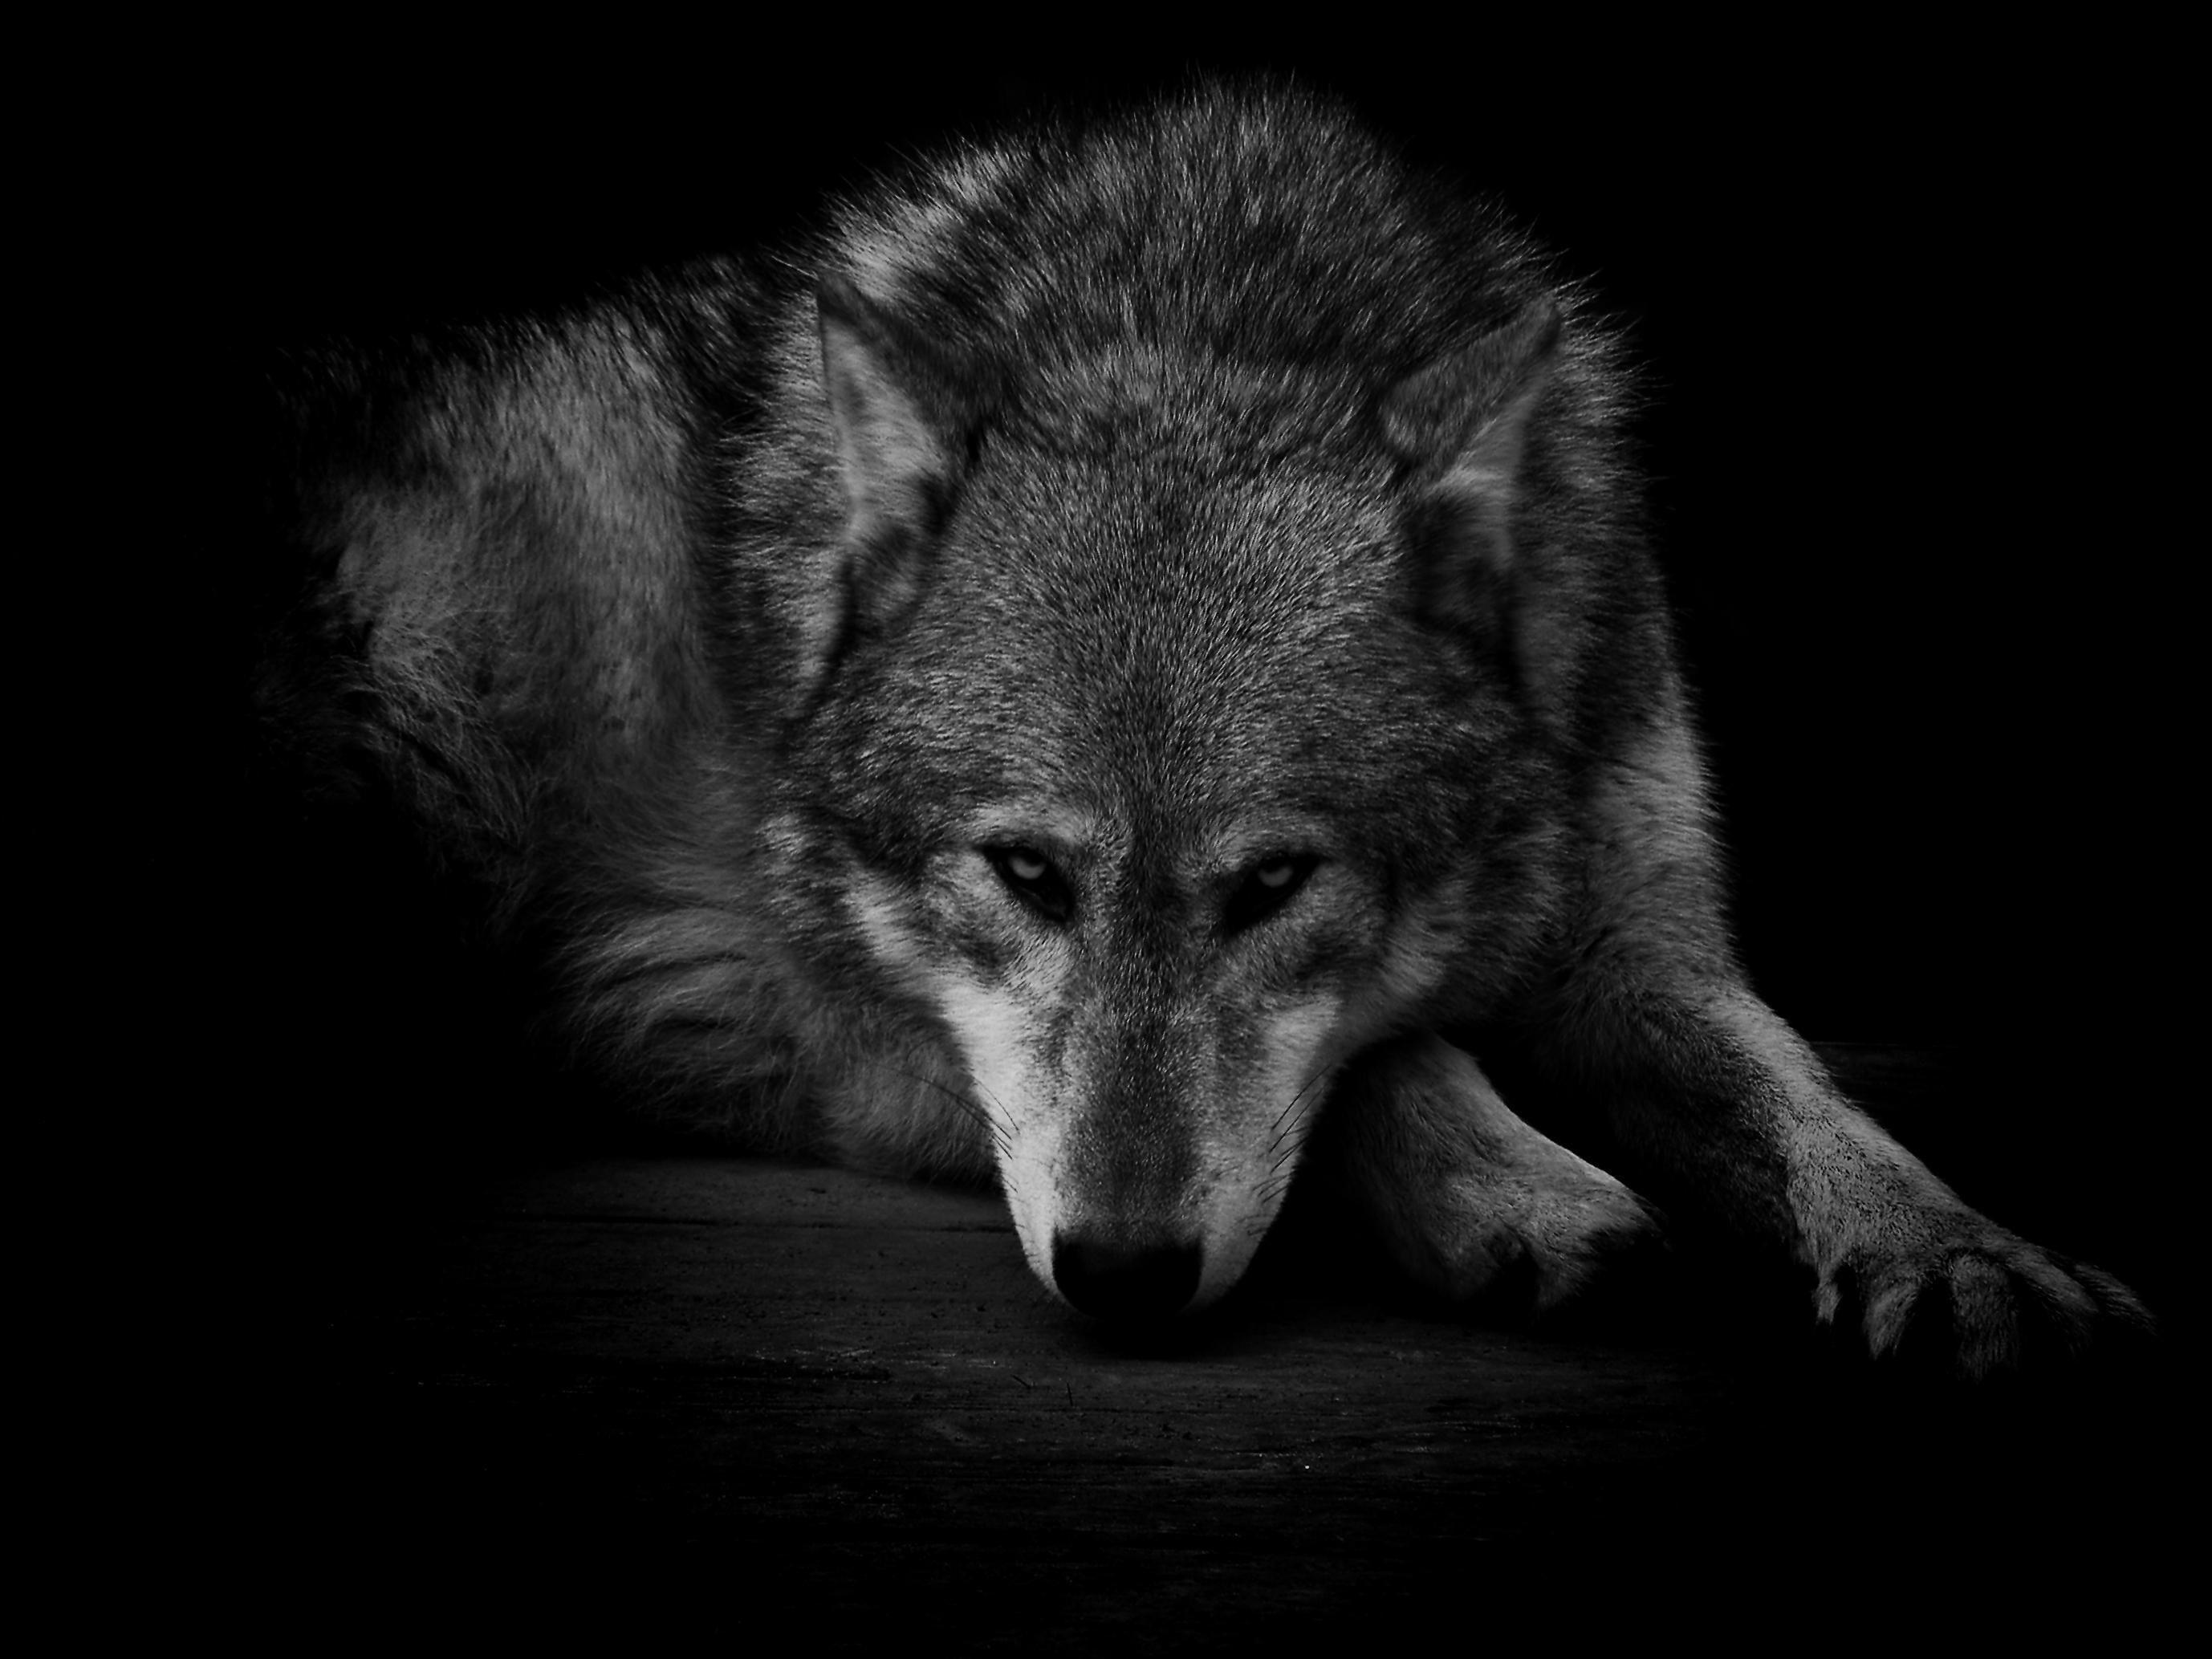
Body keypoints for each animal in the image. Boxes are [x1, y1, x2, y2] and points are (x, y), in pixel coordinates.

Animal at [260, 83, 2146, 1376]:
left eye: (1272, 887)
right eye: (1024, 873)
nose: (1119, 1272)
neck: (1202, 324)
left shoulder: (1636, 947)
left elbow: (1806, 1091)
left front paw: (1958, 1249)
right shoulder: (779, 1005)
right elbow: (1392, 1054)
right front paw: (1522, 1187)